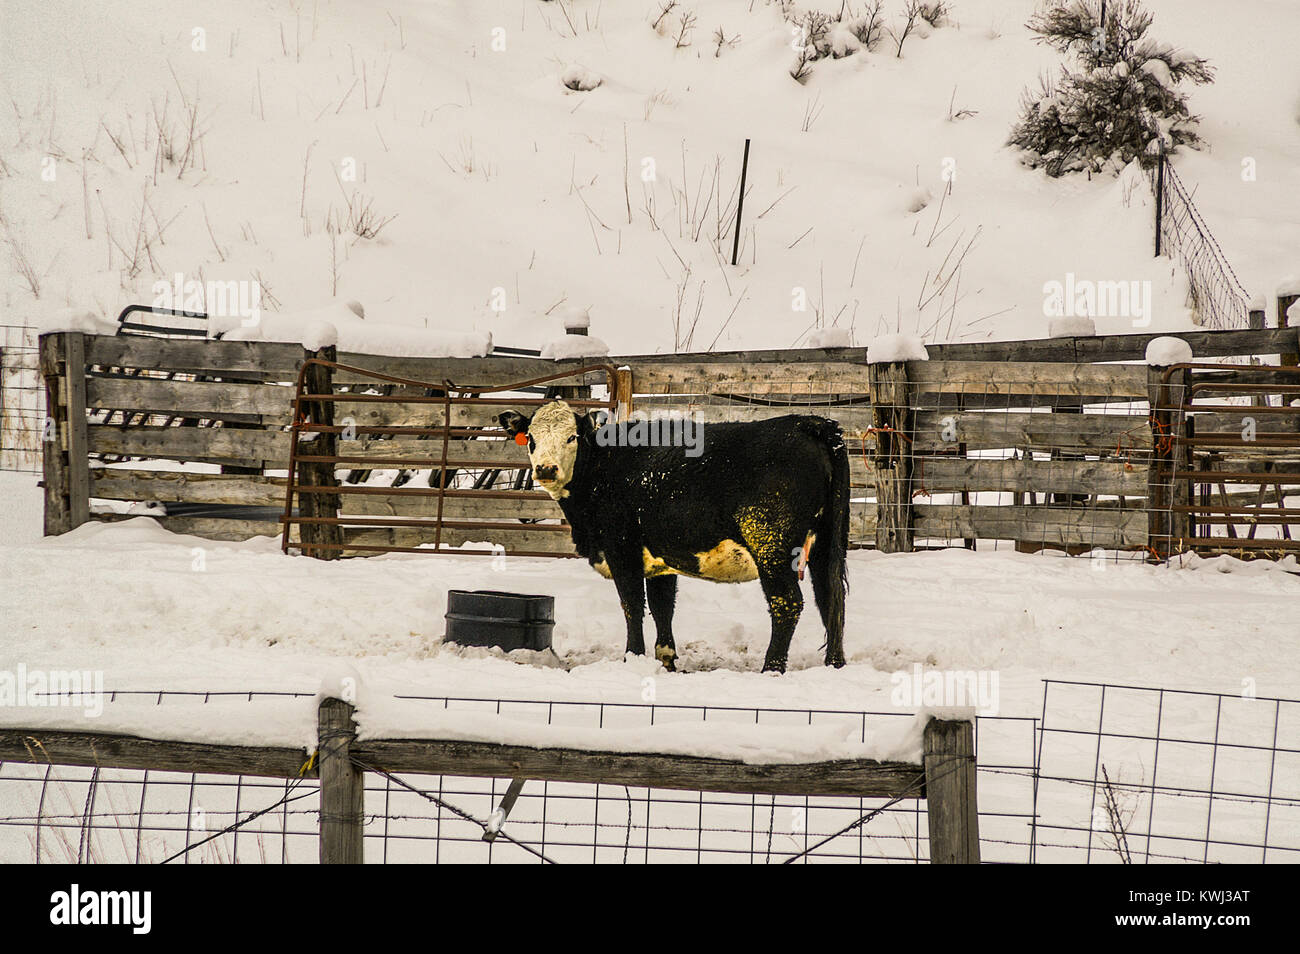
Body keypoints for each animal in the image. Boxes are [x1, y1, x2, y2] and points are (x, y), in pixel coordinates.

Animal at [498, 401, 850, 673]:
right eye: (531, 438)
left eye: (571, 436)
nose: (546, 469)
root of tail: (806, 423)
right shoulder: (659, 559)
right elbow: (662, 606)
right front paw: (665, 659)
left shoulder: (621, 548)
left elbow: (632, 604)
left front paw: (632, 657)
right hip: (826, 544)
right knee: (830, 597)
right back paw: (834, 664)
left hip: (770, 542)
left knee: (787, 602)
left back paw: (772, 668)